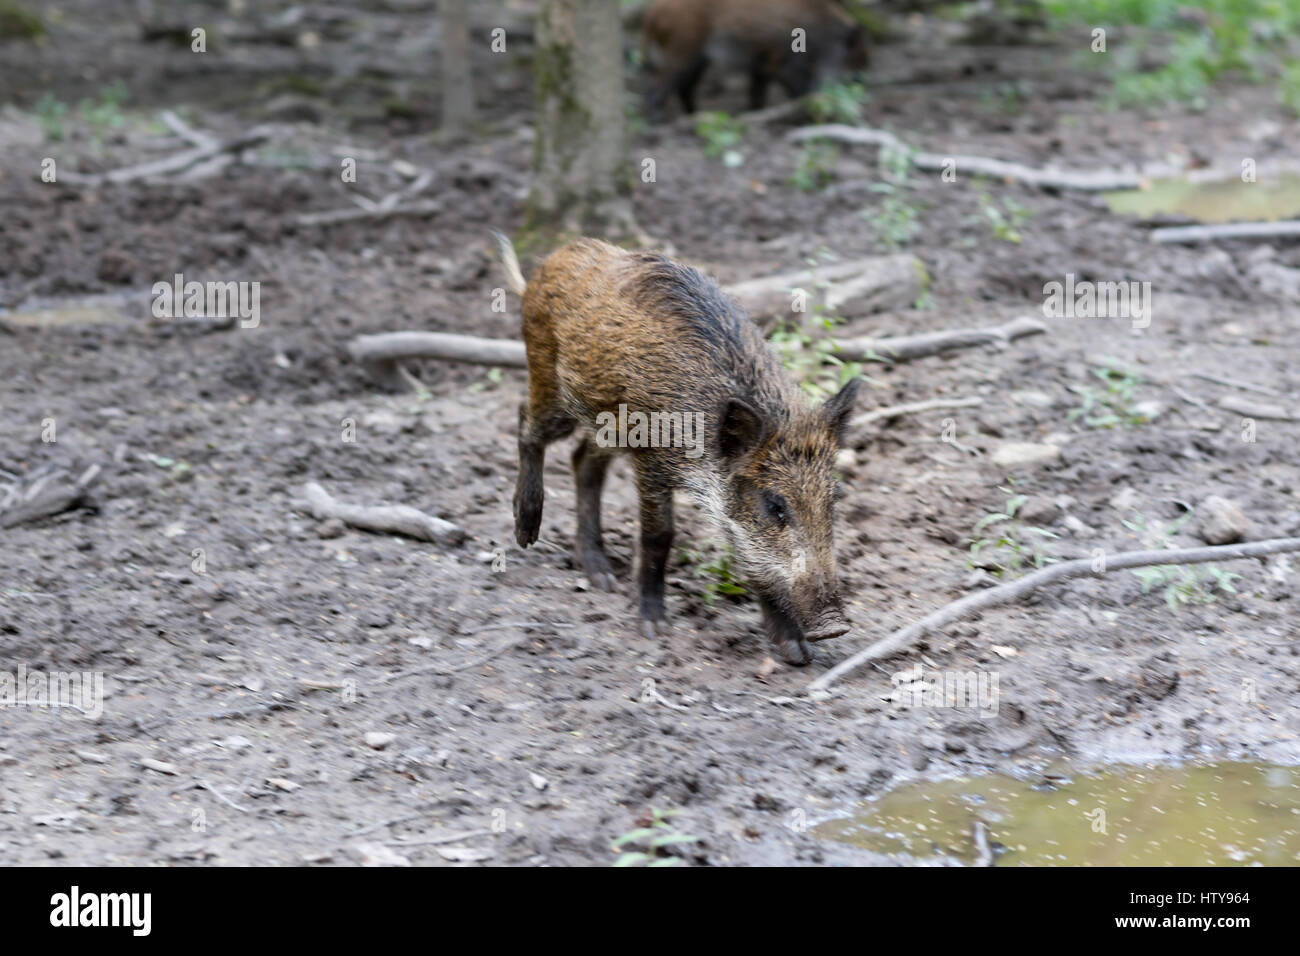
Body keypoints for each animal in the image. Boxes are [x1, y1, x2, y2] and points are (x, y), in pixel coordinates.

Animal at [495, 233, 859, 665]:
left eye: (833, 498)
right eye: (775, 505)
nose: (835, 626)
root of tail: (547, 265)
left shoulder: (725, 498)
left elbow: (749, 553)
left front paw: (796, 652)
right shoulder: (651, 460)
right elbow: (659, 536)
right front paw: (654, 628)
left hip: (604, 423)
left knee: (582, 461)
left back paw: (601, 576)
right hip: (551, 385)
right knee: (526, 424)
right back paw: (527, 533)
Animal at [641, 0, 868, 118]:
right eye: (857, 58)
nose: (860, 79)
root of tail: (651, 13)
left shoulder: (761, 63)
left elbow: (757, 91)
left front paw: (754, 112)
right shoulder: (783, 62)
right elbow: (798, 89)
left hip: (698, 57)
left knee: (684, 87)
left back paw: (694, 115)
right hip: (682, 49)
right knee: (656, 88)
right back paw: (656, 124)